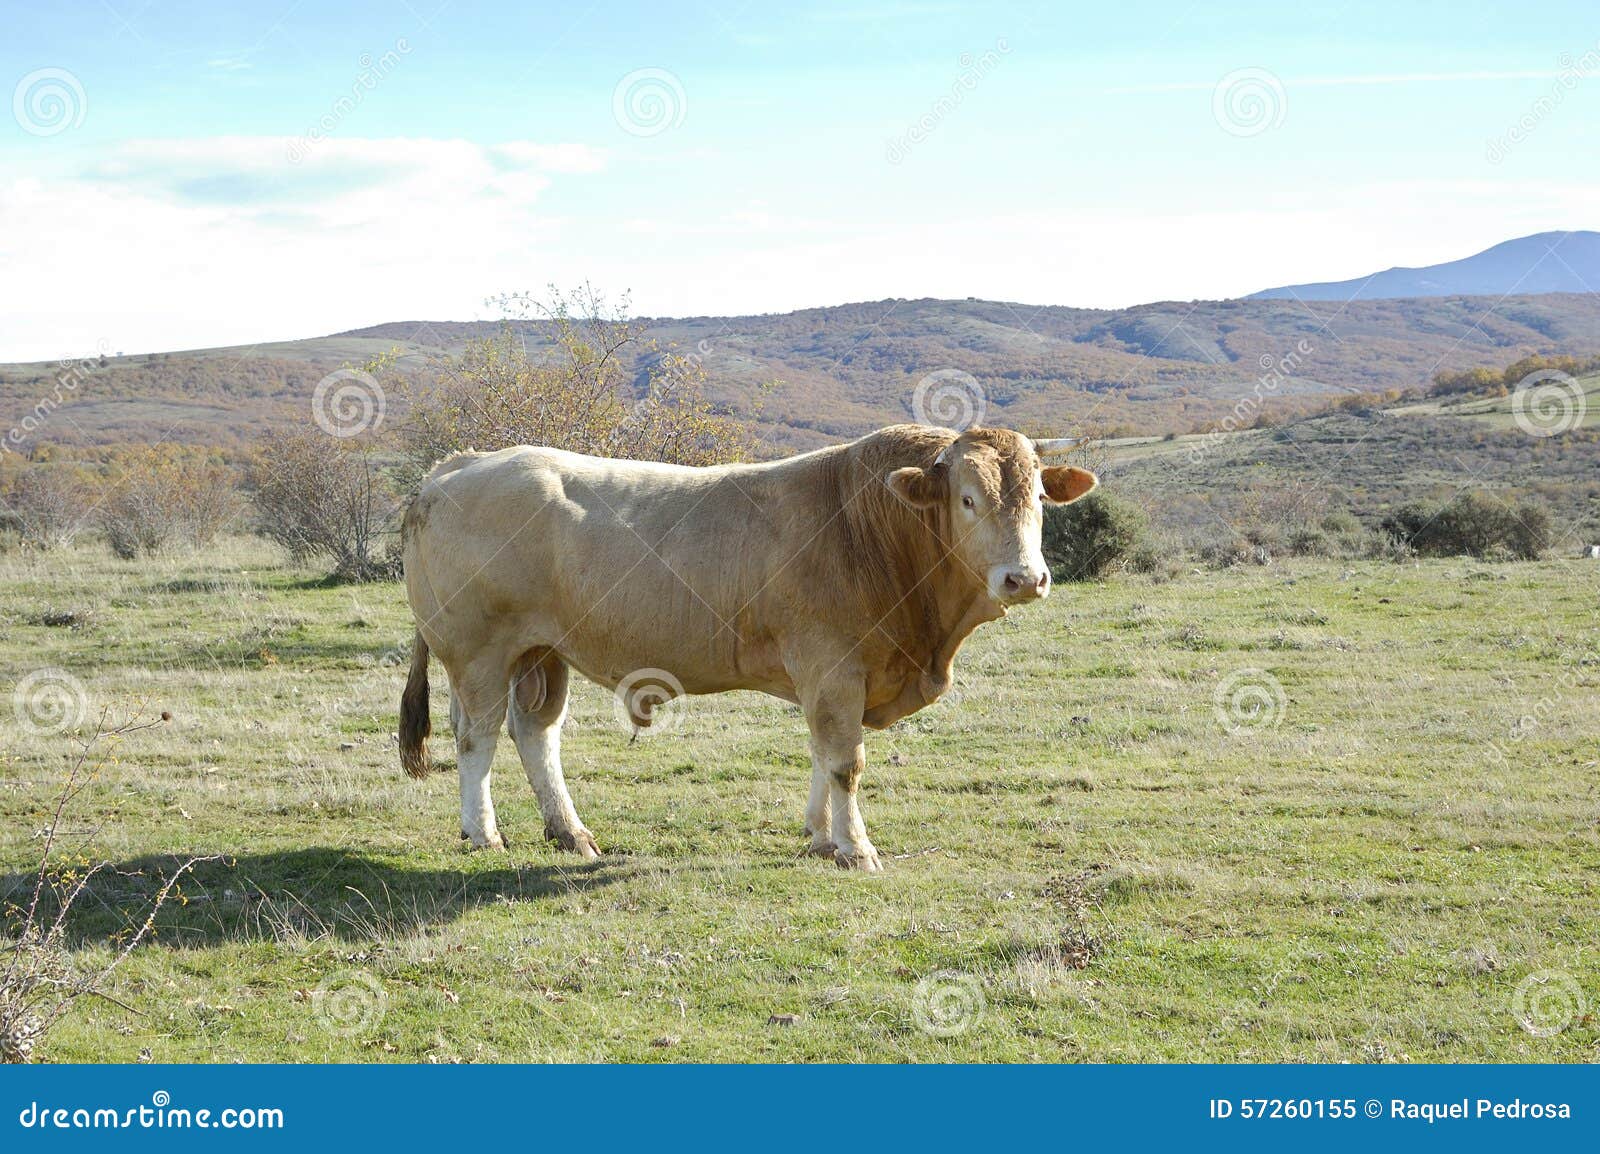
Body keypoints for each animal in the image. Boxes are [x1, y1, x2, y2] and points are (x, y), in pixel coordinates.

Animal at [398, 423, 1097, 870]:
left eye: (1038, 497)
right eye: (968, 499)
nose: (1025, 578)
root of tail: (457, 464)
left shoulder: (829, 680)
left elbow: (822, 753)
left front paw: (820, 837)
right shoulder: (832, 667)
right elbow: (845, 762)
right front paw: (857, 848)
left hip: (541, 651)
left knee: (535, 733)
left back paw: (570, 833)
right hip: (479, 652)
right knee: (477, 736)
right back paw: (483, 833)